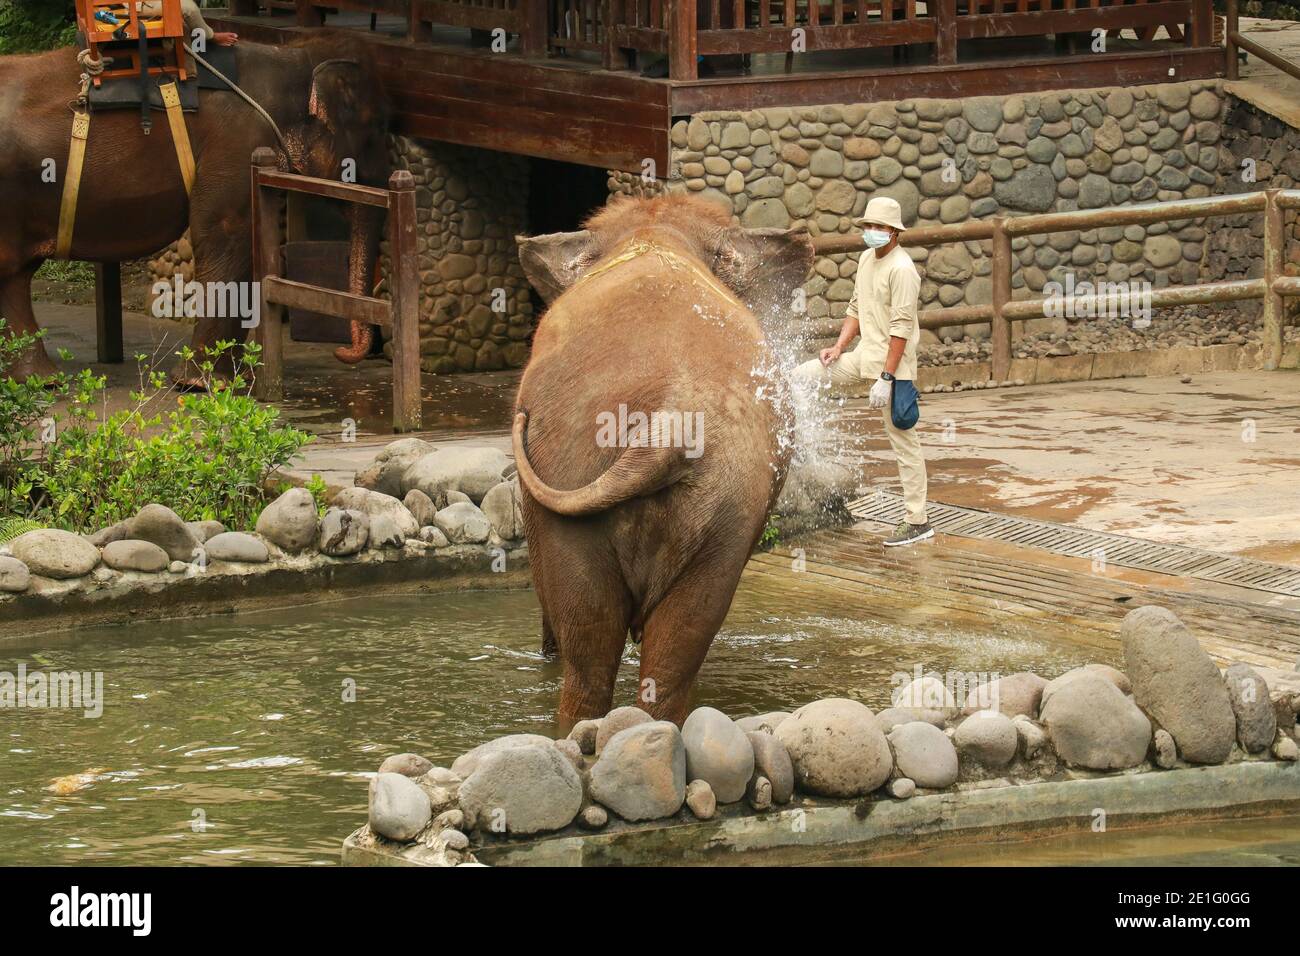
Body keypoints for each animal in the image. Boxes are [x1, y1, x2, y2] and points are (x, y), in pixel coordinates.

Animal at [0, 30, 390, 382]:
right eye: (372, 134)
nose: (344, 353)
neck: (290, 56)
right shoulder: (236, 149)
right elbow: (224, 238)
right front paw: (202, 383)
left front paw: (229, 376)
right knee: (12, 274)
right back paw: (44, 380)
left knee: (15, 276)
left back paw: (38, 380)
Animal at [512, 194, 814, 729]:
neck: (656, 233)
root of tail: (665, 429)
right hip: (721, 504)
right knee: (675, 641)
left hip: (576, 474)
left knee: (591, 657)